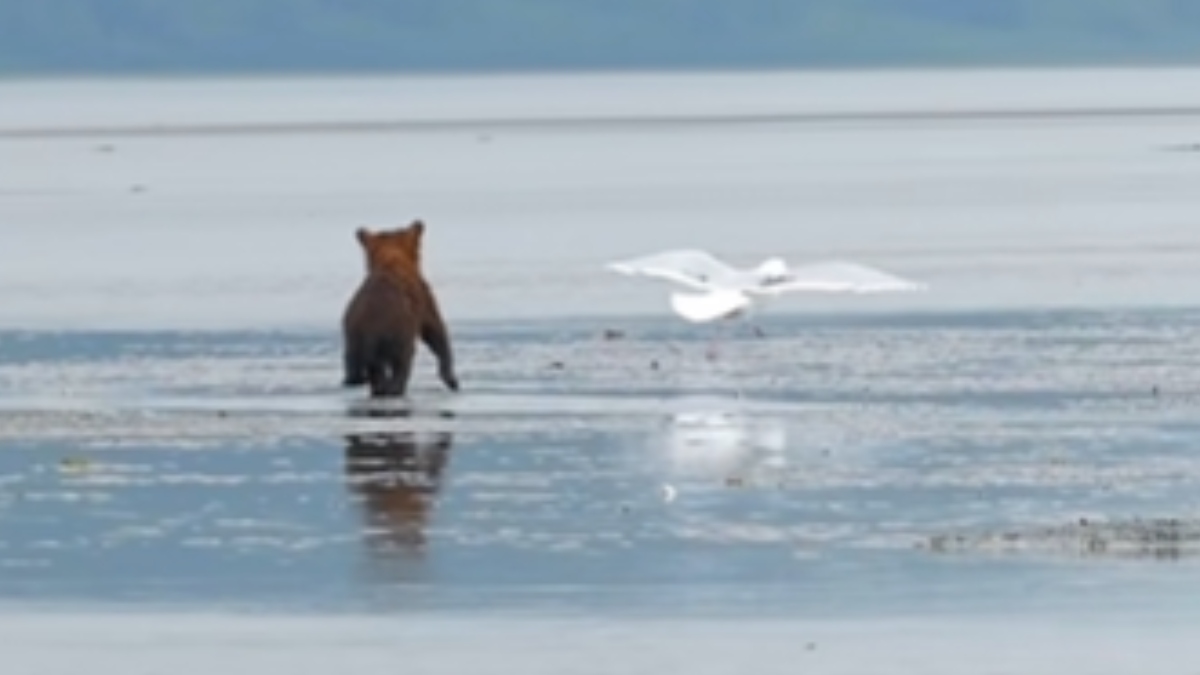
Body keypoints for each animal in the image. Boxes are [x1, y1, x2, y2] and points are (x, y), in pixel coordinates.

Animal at [341, 219, 459, 397]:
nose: (419, 223)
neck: (391, 259)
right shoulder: (423, 294)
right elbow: (435, 330)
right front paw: (452, 379)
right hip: (398, 332)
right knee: (403, 361)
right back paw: (394, 388)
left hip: (353, 337)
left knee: (369, 368)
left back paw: (375, 387)